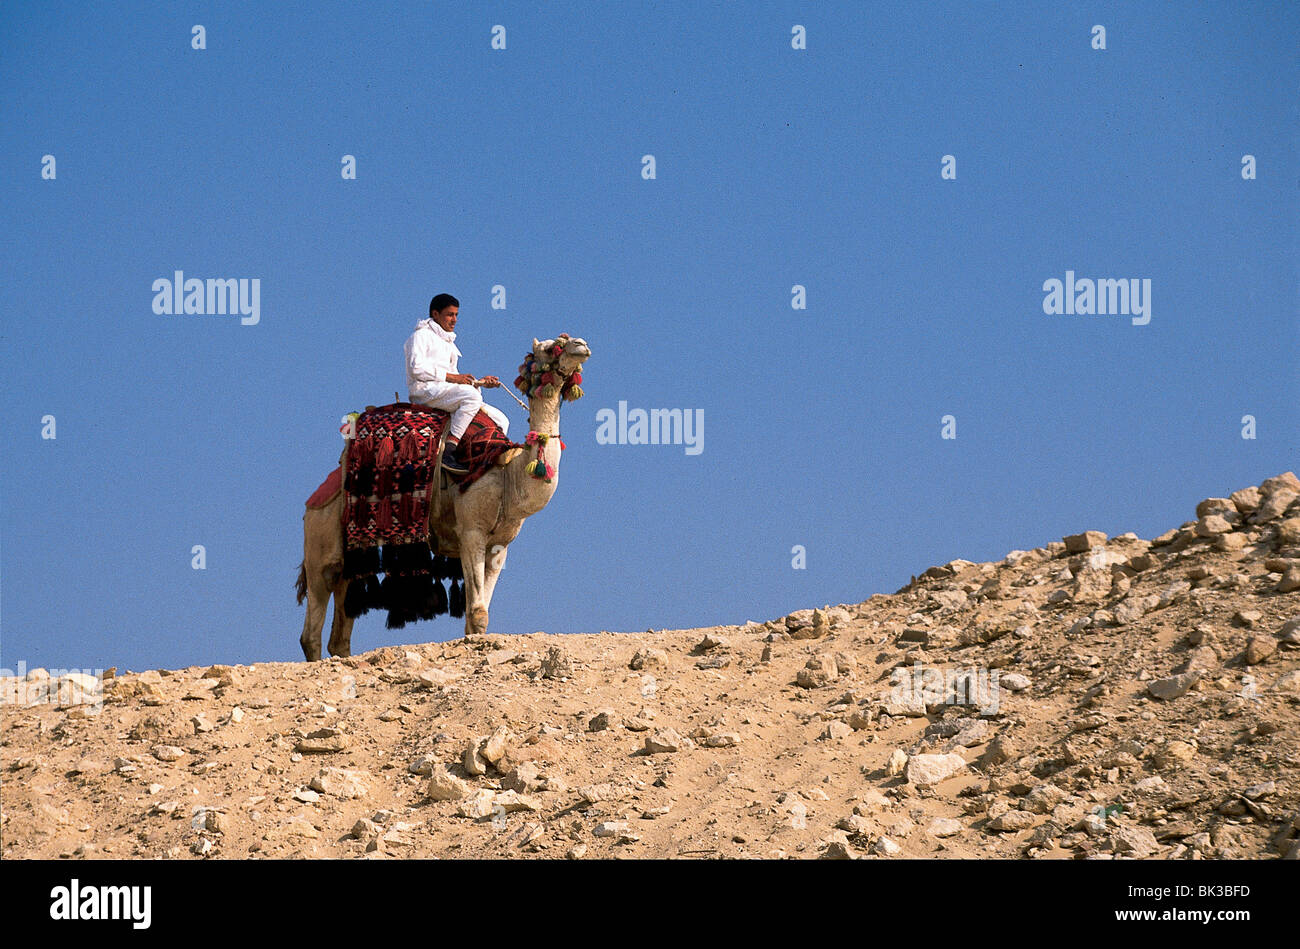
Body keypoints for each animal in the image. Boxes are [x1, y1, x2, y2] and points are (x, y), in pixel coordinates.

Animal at [295, 334, 591, 660]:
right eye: (551, 348)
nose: (581, 345)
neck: (507, 474)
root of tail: (314, 499)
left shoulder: (499, 545)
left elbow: (479, 612)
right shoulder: (470, 531)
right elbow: (477, 613)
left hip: (356, 554)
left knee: (341, 626)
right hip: (322, 538)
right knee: (314, 619)